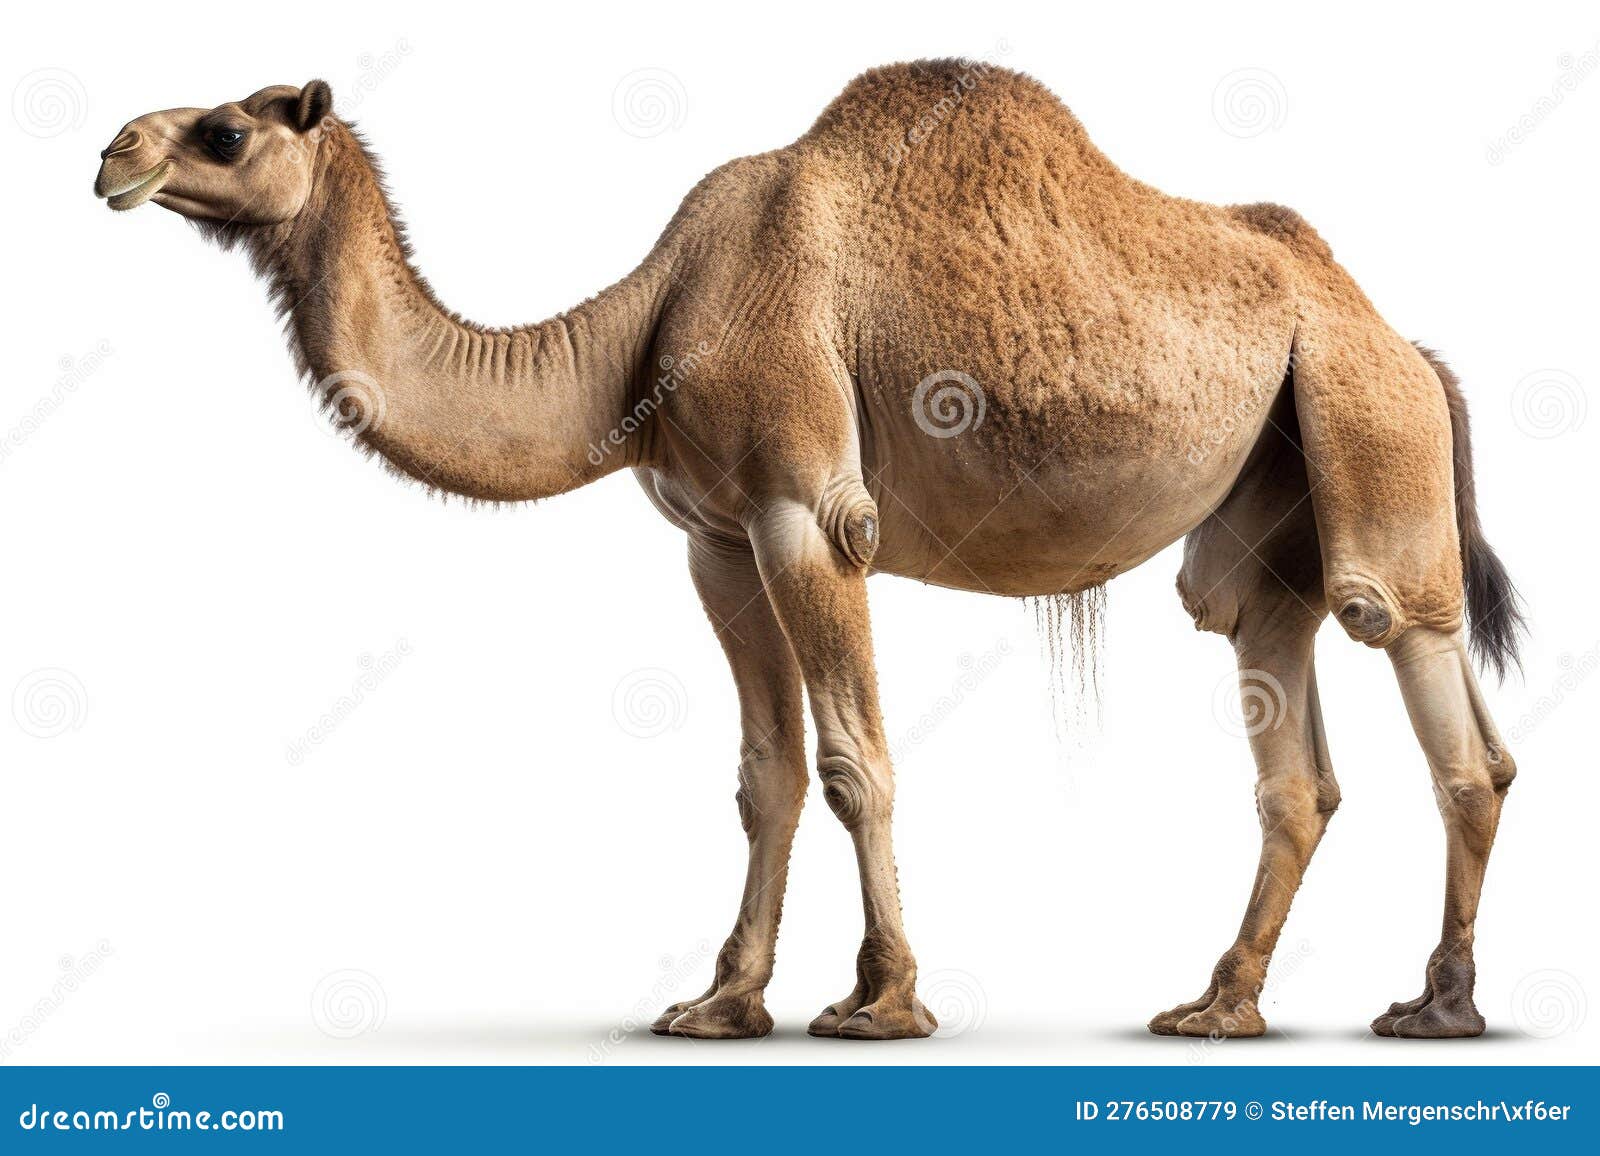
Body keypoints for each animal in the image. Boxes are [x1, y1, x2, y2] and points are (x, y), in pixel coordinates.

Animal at [95, 61, 1523, 1041]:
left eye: (227, 128)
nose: (111, 154)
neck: (645, 328)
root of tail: (1404, 340)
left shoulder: (807, 507)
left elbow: (852, 764)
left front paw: (881, 1000)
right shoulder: (717, 540)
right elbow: (765, 774)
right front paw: (720, 1001)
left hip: (1363, 423)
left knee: (1426, 679)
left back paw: (1436, 1009)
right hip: (1269, 507)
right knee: (1291, 735)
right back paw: (1218, 1005)